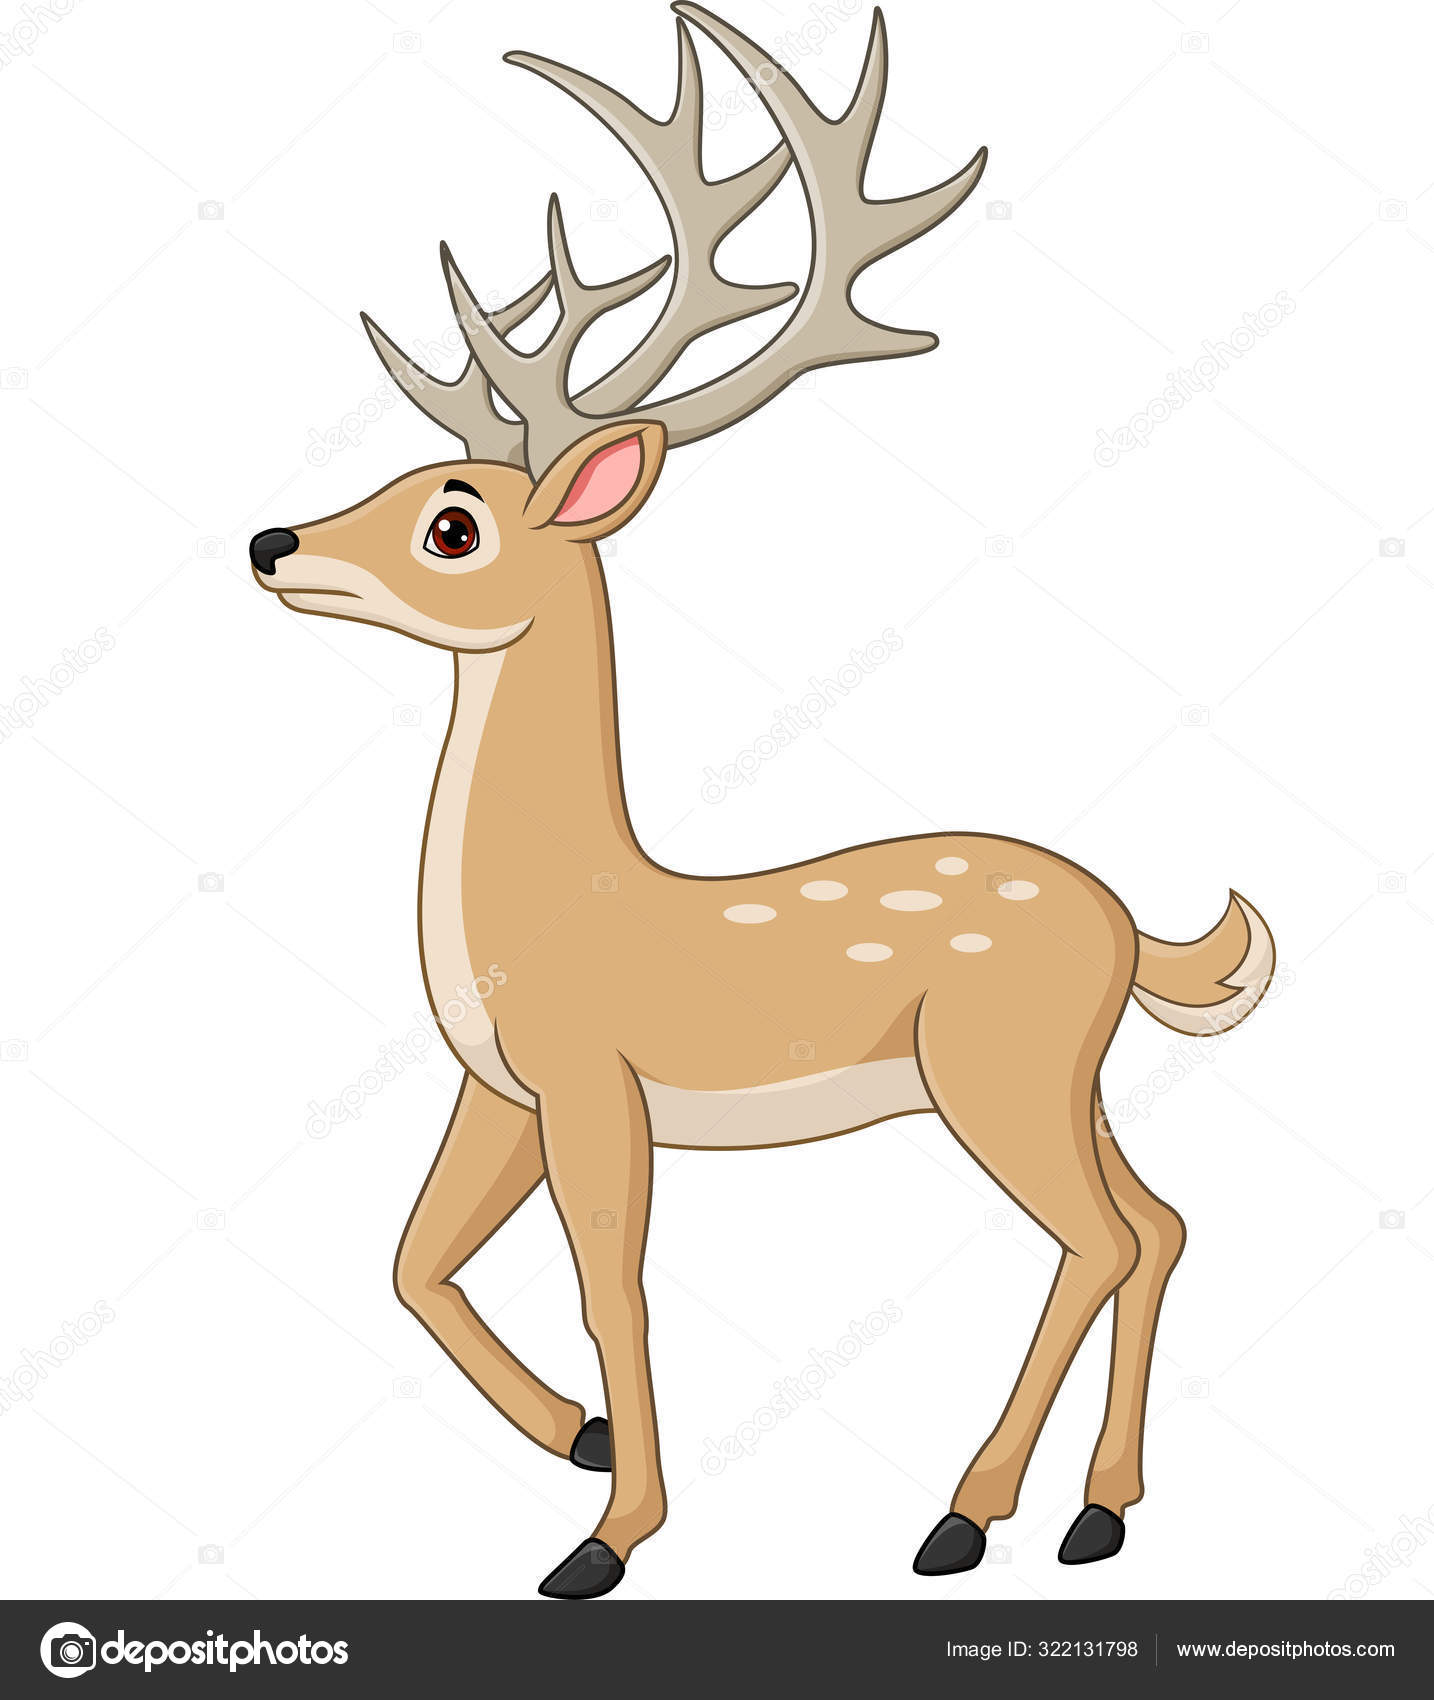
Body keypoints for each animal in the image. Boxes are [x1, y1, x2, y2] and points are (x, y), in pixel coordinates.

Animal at [249, 3, 1275, 1600]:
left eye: (452, 522)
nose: (270, 542)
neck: (557, 906)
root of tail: (1128, 923)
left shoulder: (589, 1077)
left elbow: (615, 1288)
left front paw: (606, 1539)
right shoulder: (497, 1085)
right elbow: (412, 1258)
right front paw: (582, 1436)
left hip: (995, 1066)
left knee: (1100, 1239)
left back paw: (964, 1516)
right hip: (1073, 1072)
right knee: (1160, 1221)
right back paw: (1099, 1512)